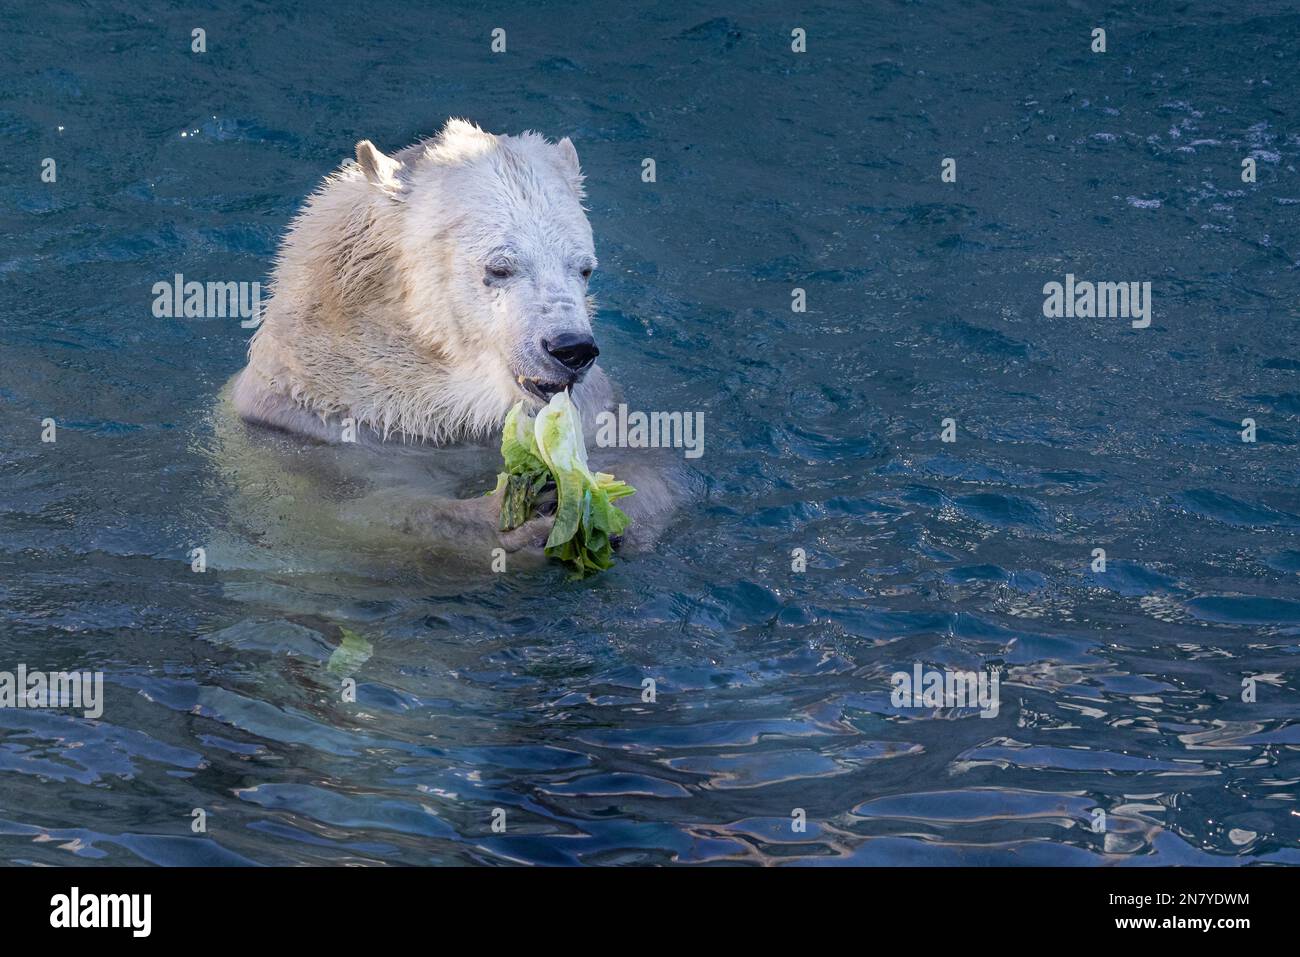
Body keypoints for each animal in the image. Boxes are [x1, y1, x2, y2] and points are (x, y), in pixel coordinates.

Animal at [219, 119, 675, 566]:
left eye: (584, 268)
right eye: (500, 267)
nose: (571, 349)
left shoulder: (589, 403)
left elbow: (649, 461)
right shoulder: (317, 430)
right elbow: (362, 517)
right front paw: (523, 514)